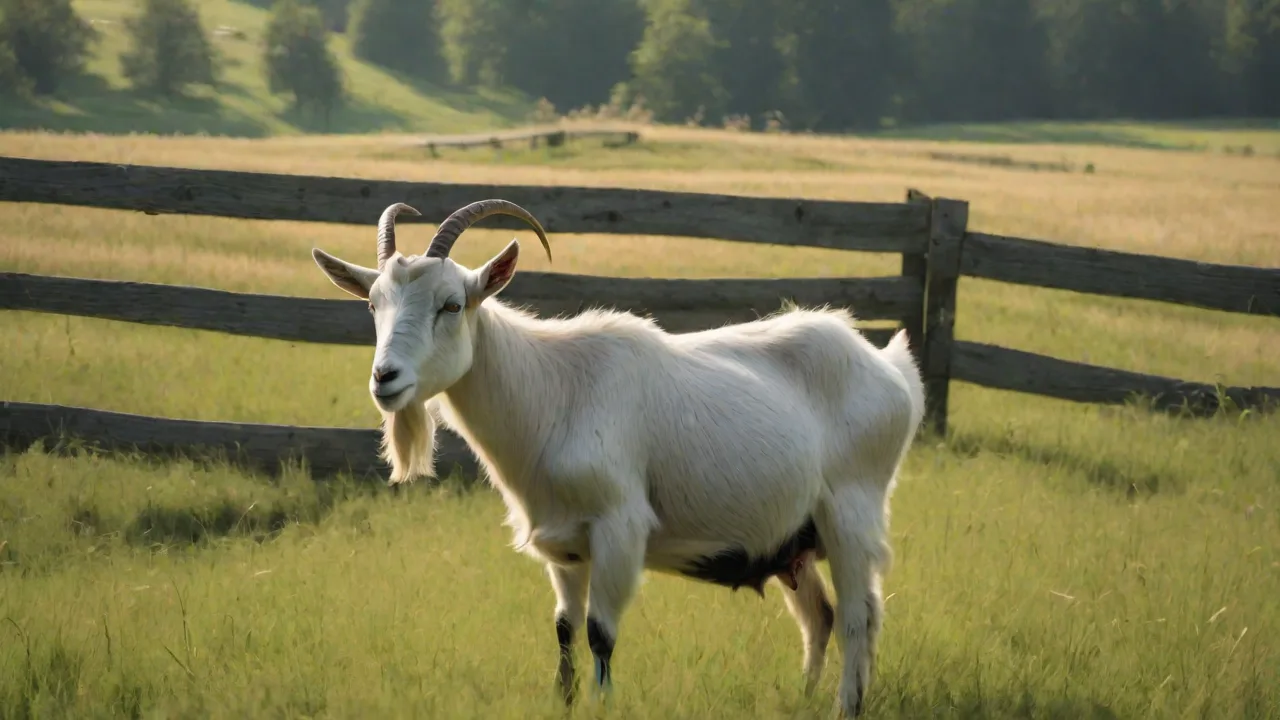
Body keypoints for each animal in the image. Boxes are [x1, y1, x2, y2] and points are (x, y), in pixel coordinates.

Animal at [311, 200, 926, 717]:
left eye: (451, 304)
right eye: (374, 303)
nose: (386, 378)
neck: (552, 392)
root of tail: (892, 369)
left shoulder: (619, 529)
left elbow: (600, 634)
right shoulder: (564, 546)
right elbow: (564, 632)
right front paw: (564, 703)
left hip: (851, 514)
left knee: (858, 618)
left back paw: (846, 706)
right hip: (794, 540)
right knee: (821, 617)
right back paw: (804, 698)